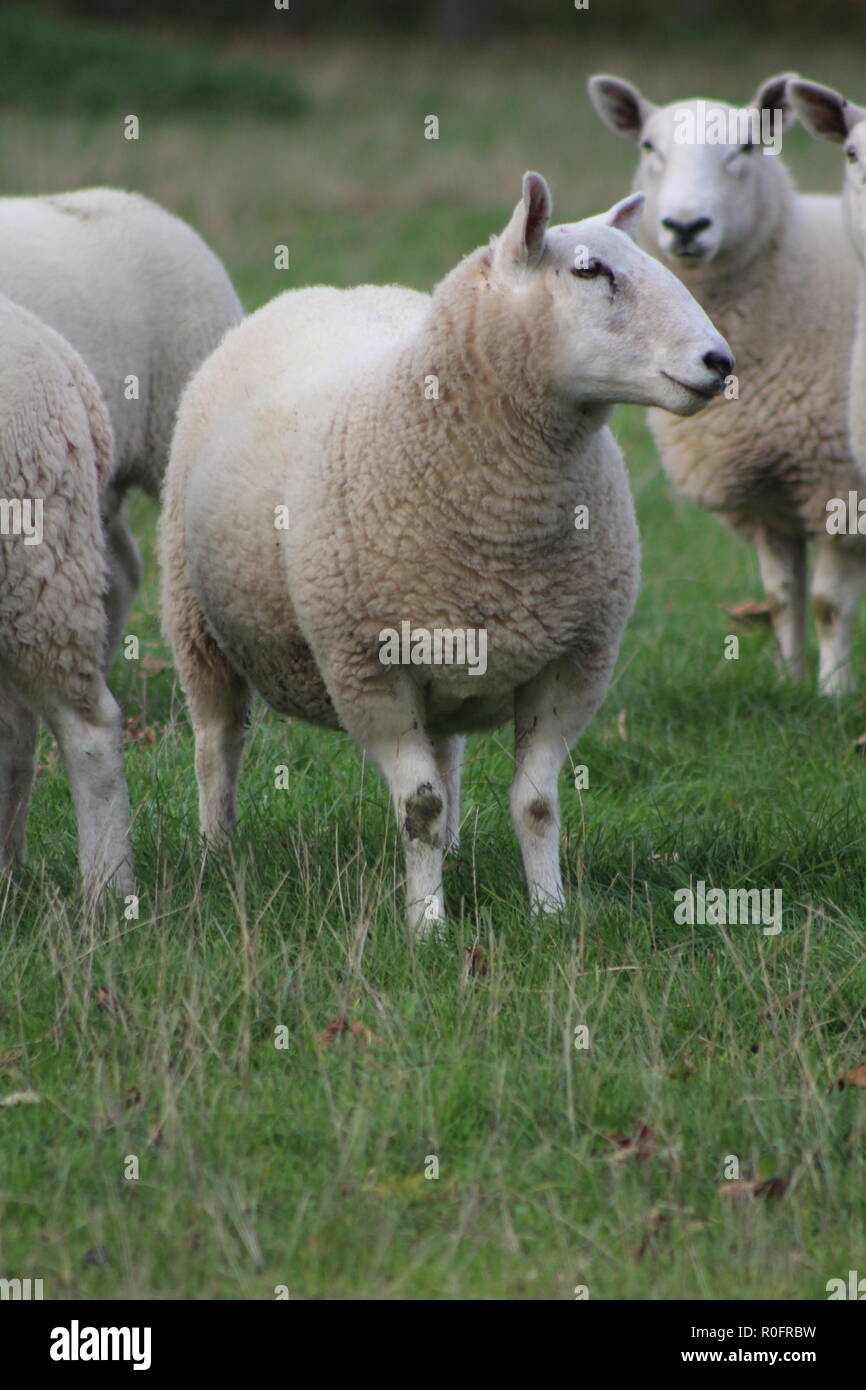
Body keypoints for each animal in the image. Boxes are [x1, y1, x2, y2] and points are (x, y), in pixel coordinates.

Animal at [161, 172, 731, 937]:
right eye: (589, 271)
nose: (720, 362)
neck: (502, 525)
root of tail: (329, 290)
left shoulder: (573, 663)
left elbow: (536, 804)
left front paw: (549, 913)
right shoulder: (367, 668)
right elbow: (419, 805)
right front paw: (426, 926)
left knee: (448, 752)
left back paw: (455, 851)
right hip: (195, 620)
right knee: (217, 743)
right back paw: (217, 849)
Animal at [588, 73, 866, 693]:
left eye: (746, 147)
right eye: (648, 146)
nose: (686, 226)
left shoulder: (836, 484)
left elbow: (827, 604)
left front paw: (834, 692)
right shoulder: (767, 494)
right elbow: (782, 597)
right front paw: (790, 684)